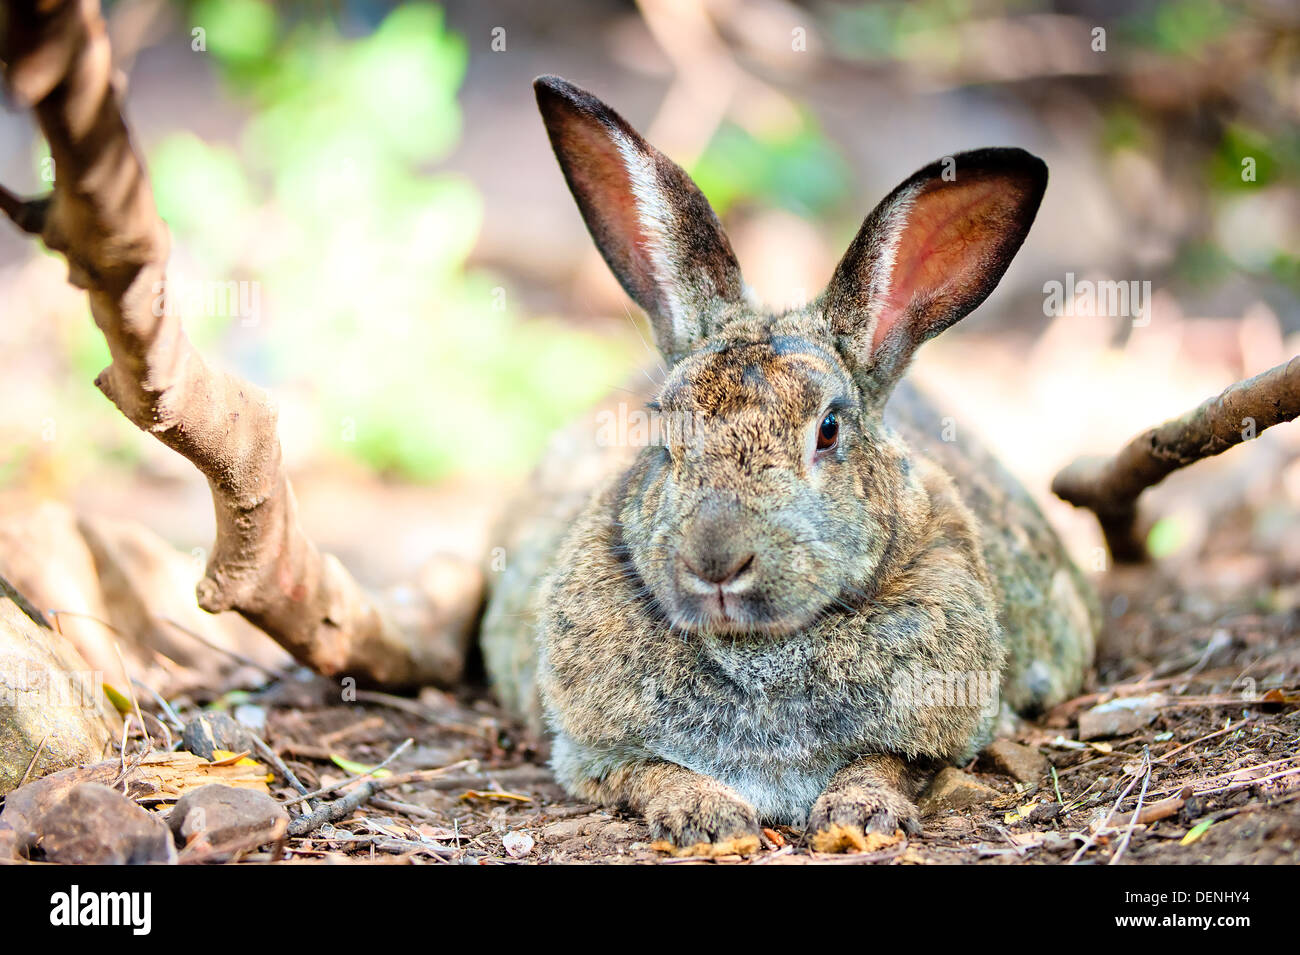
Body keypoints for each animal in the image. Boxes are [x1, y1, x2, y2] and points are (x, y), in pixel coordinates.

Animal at [479, 75, 1098, 851]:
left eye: (828, 429)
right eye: (663, 428)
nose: (716, 560)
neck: (758, 647)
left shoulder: (946, 733)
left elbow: (887, 761)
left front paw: (859, 814)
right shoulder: (594, 754)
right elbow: (651, 771)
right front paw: (707, 818)